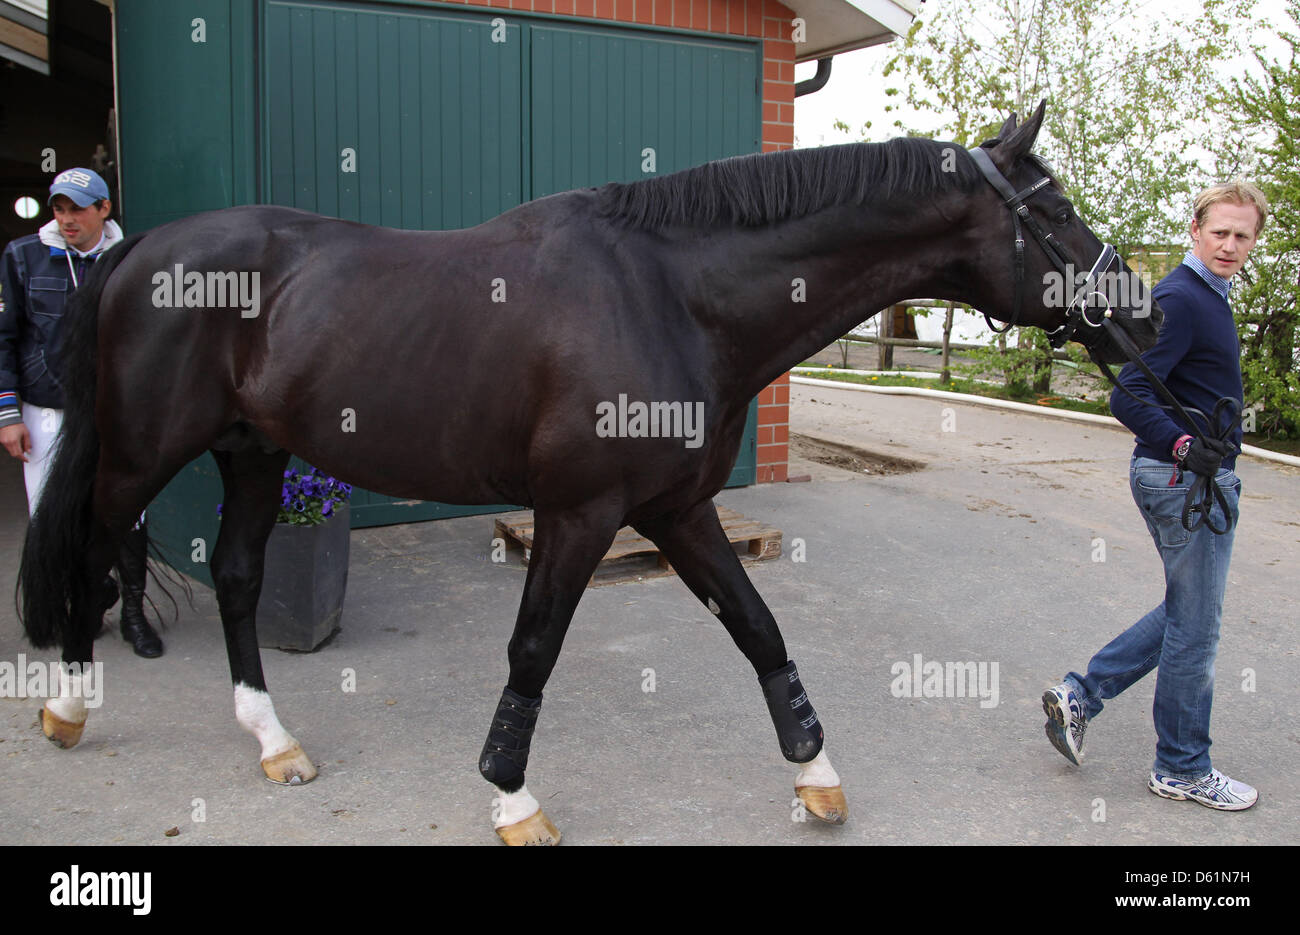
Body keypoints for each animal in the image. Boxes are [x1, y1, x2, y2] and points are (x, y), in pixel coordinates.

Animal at [19, 102, 1160, 844]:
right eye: (1054, 210)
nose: (1143, 315)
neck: (671, 295)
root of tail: (134, 249)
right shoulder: (579, 513)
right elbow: (534, 648)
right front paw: (513, 797)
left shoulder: (677, 509)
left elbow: (760, 630)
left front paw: (818, 777)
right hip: (144, 452)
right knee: (90, 546)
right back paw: (68, 707)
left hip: (254, 453)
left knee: (241, 577)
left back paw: (273, 740)